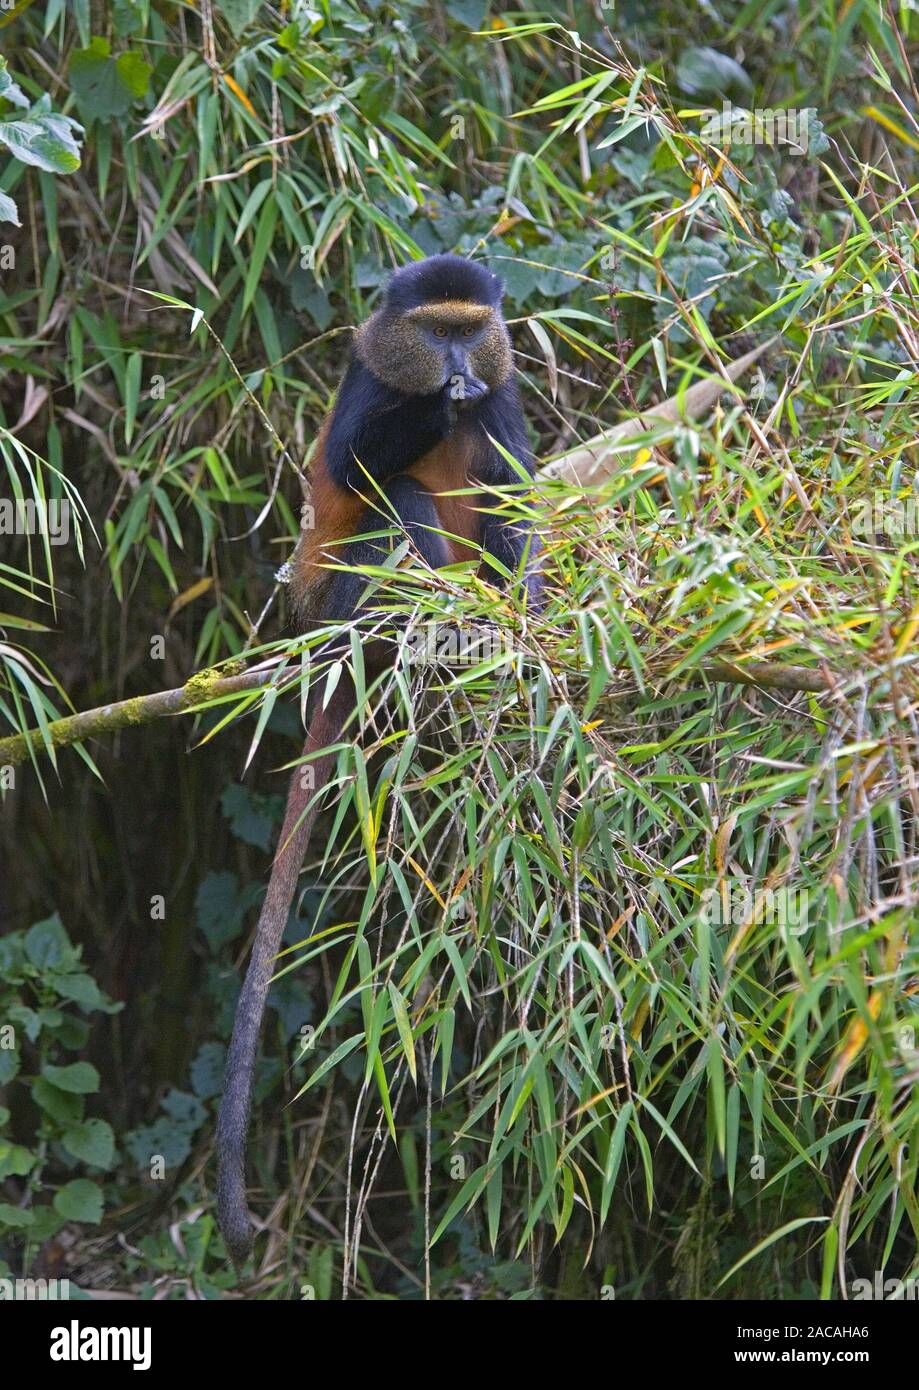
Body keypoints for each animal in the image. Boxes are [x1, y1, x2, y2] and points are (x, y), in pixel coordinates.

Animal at [216, 253, 541, 1268]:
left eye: (469, 328)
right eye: (433, 331)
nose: (457, 369)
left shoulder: (508, 387)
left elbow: (517, 490)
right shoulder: (371, 380)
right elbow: (358, 460)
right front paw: (435, 409)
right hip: (343, 589)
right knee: (393, 505)